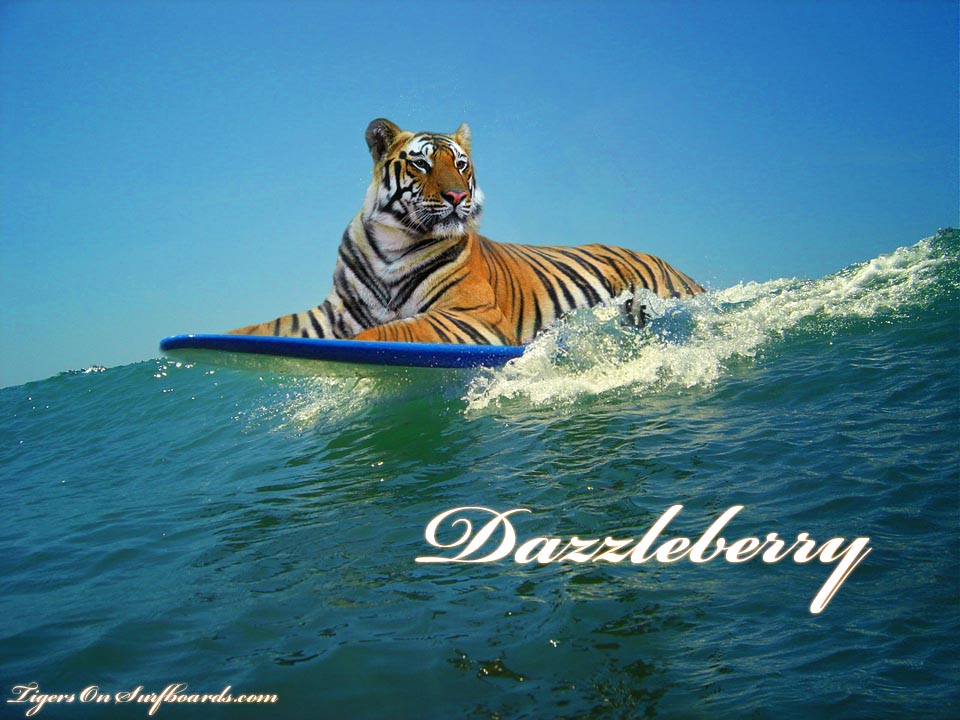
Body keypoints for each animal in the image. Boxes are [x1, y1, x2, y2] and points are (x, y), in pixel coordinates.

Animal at [229, 118, 704, 344]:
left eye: (460, 164)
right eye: (421, 164)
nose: (458, 196)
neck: (391, 243)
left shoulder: (469, 315)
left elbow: (397, 330)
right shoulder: (335, 311)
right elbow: (271, 326)